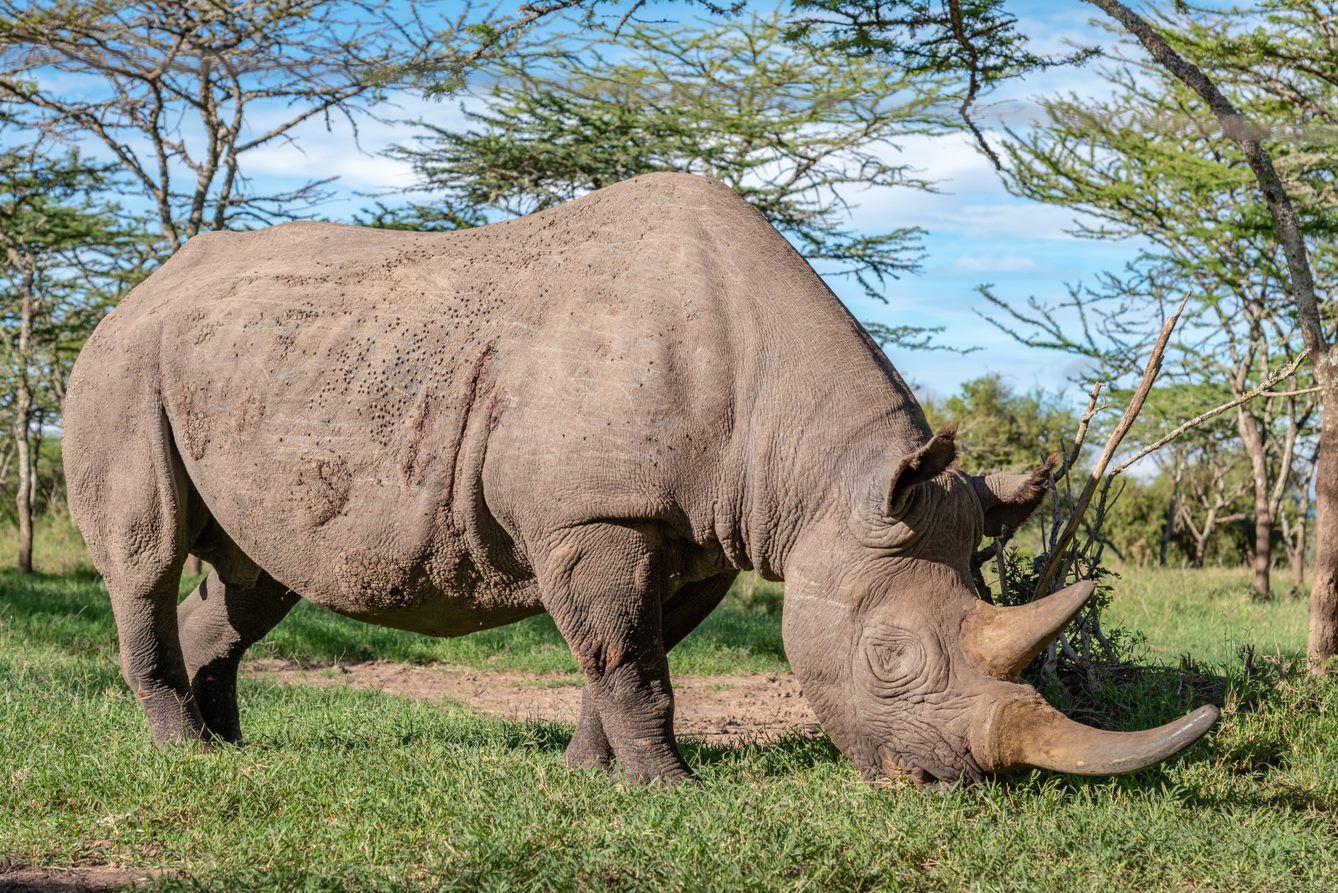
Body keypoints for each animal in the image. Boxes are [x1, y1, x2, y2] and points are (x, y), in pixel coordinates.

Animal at [63, 172, 1217, 786]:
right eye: (890, 659)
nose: (940, 783)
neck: (818, 472)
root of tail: (132, 290)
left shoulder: (707, 529)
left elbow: (620, 651)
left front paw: (590, 775)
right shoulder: (594, 514)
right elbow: (630, 655)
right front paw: (673, 787)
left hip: (246, 369)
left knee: (255, 573)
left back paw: (230, 750)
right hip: (120, 367)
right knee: (146, 555)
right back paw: (182, 750)